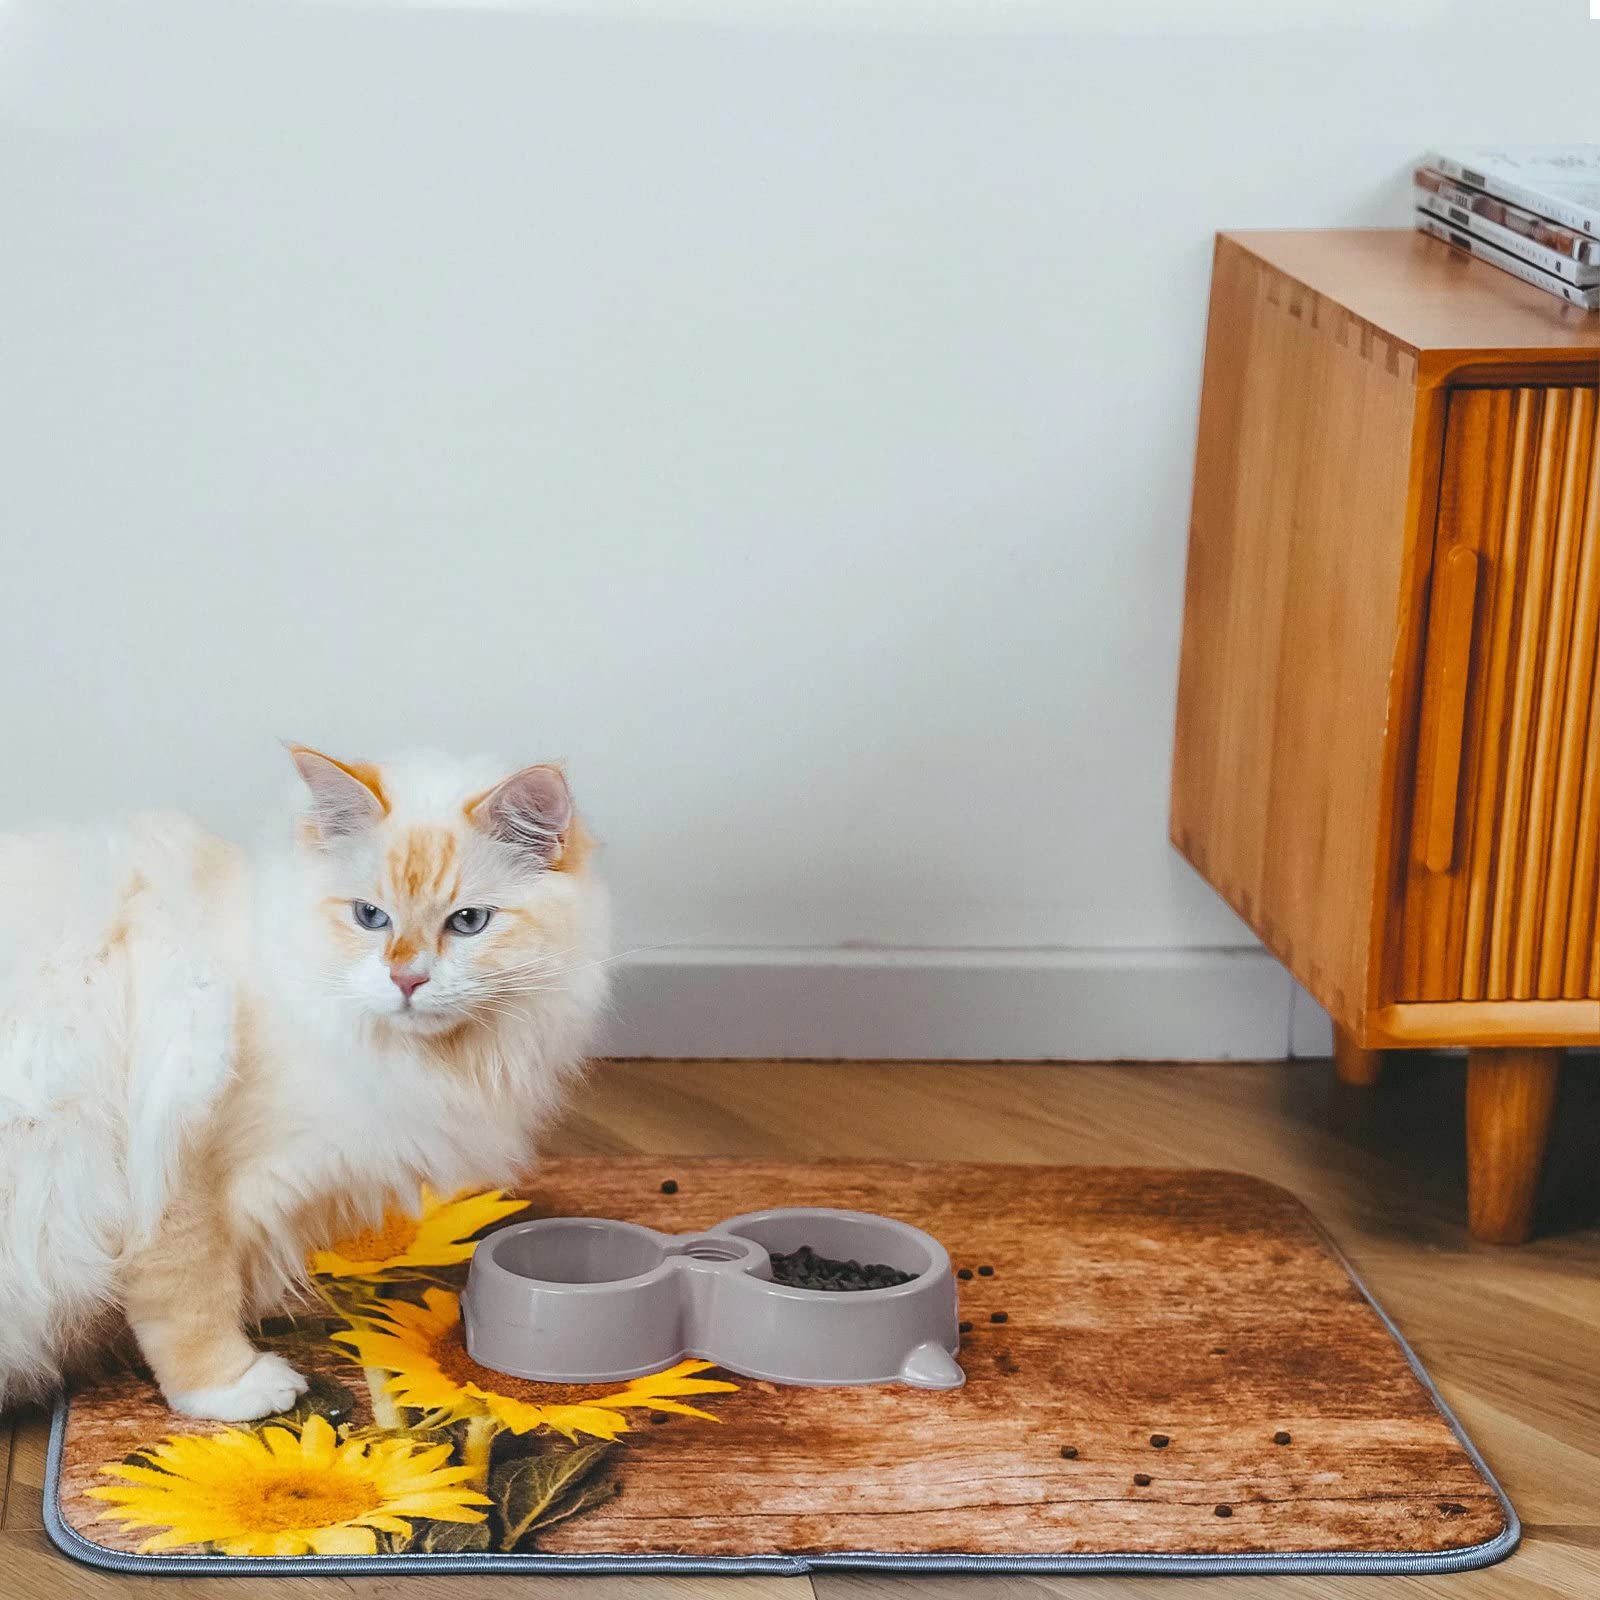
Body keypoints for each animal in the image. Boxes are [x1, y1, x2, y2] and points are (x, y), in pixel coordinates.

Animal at [0, 752, 608, 1427]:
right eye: (370, 917)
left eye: (468, 922)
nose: (406, 979)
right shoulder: (179, 1171)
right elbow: (189, 1298)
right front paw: (231, 1389)